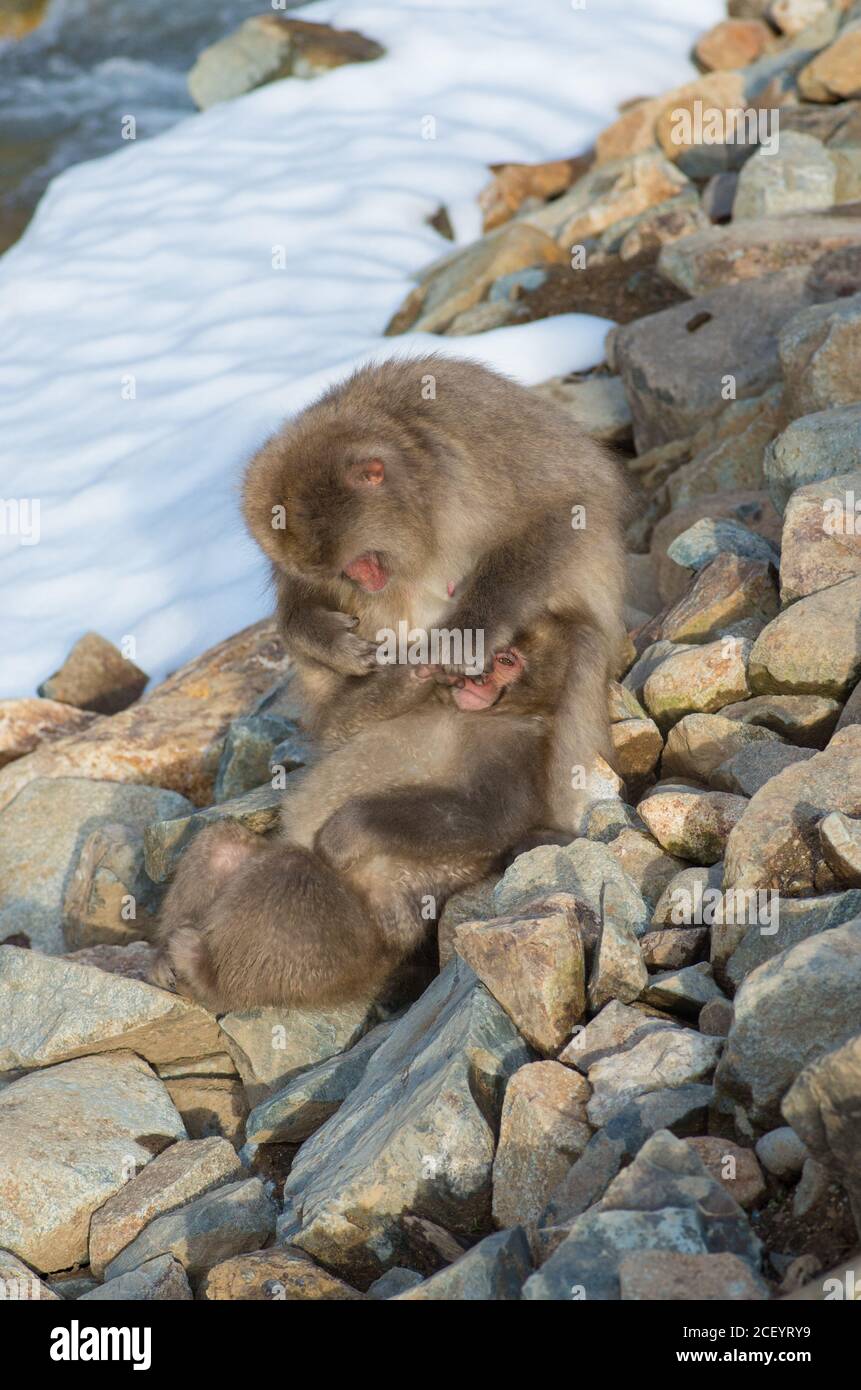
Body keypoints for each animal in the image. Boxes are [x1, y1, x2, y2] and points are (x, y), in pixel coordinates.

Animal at [151, 616, 570, 1013]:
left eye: (506, 661)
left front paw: (342, 834)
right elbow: (340, 727)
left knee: (295, 872)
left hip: (349, 955)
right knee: (221, 843)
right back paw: (165, 960)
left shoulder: (518, 756)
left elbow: (479, 819)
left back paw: (208, 978)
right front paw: (421, 667)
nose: (478, 677)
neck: (480, 714)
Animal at [242, 354, 628, 832]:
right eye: (343, 572)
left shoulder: (475, 437)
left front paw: (464, 636)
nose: (365, 581)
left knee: (583, 651)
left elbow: (564, 505)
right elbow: (298, 602)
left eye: (364, 558)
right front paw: (329, 639)